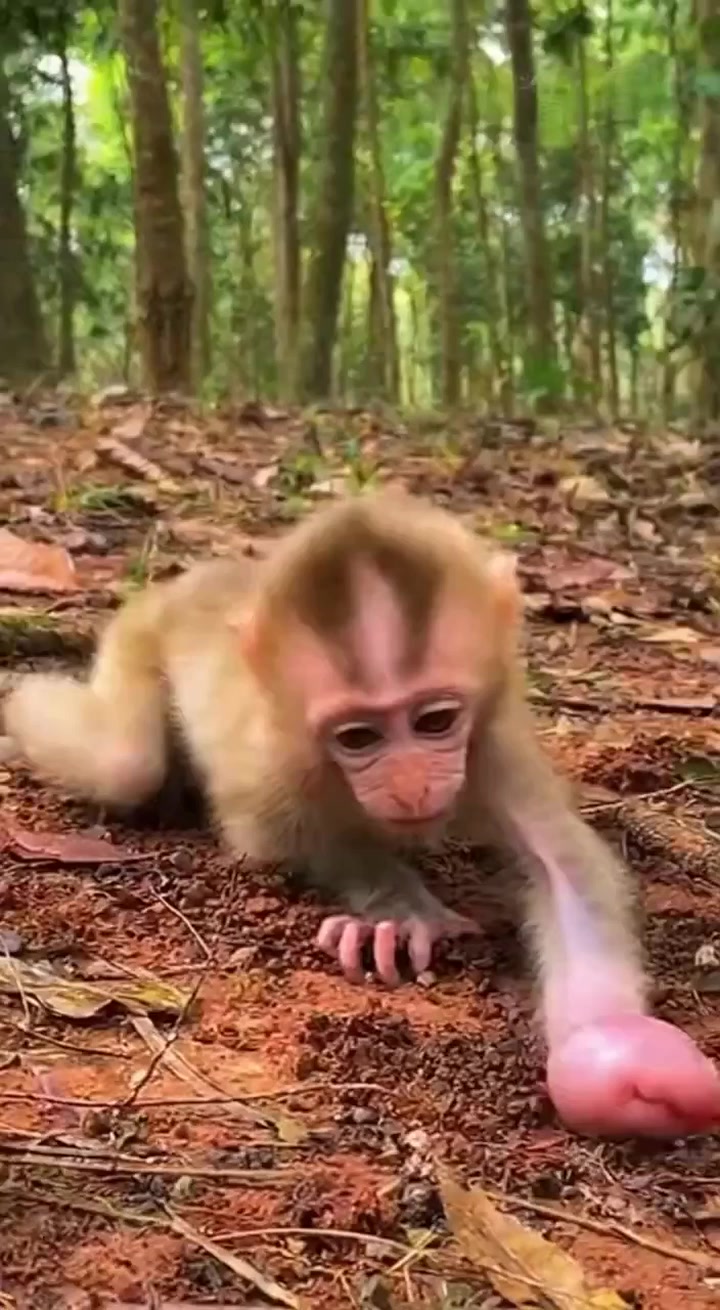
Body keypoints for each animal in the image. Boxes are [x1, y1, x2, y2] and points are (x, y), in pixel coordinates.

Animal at [2, 490, 719, 1139]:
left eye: (435, 721)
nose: (407, 787)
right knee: (126, 763)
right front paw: (396, 916)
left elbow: (562, 861)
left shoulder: (492, 738)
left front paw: (614, 1046)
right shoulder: (276, 757)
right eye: (358, 738)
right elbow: (269, 839)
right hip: (137, 635)